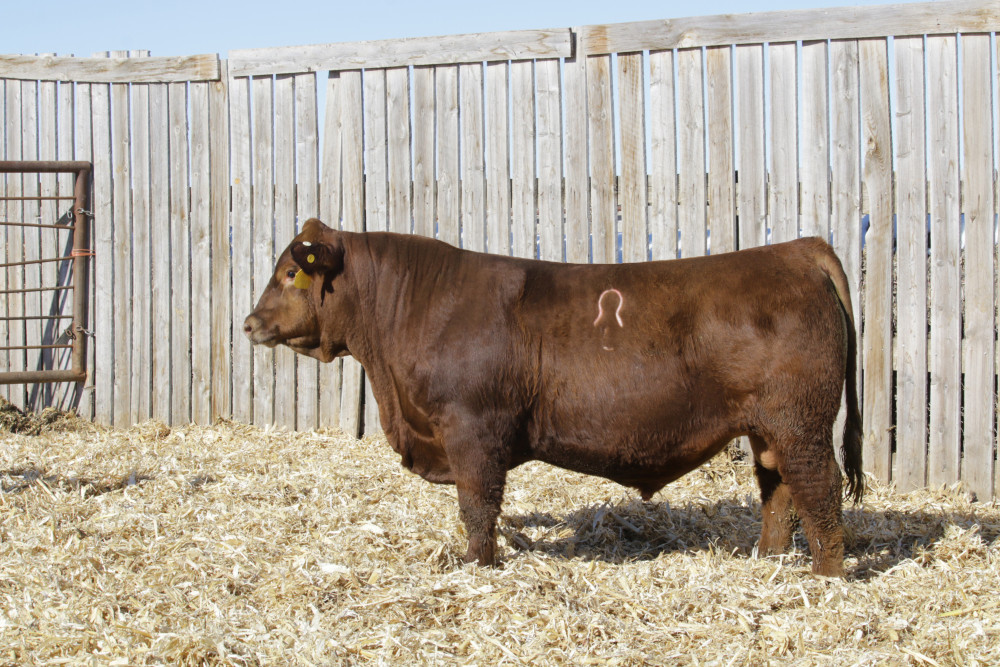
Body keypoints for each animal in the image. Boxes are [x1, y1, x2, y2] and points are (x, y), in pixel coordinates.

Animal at [244, 218, 863, 577]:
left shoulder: (473, 429)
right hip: (767, 426)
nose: (250, 323)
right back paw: (768, 560)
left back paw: (826, 578)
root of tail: (796, 249)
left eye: (288, 273)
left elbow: (477, 505)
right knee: (778, 488)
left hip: (801, 420)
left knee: (819, 487)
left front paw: (477, 568)